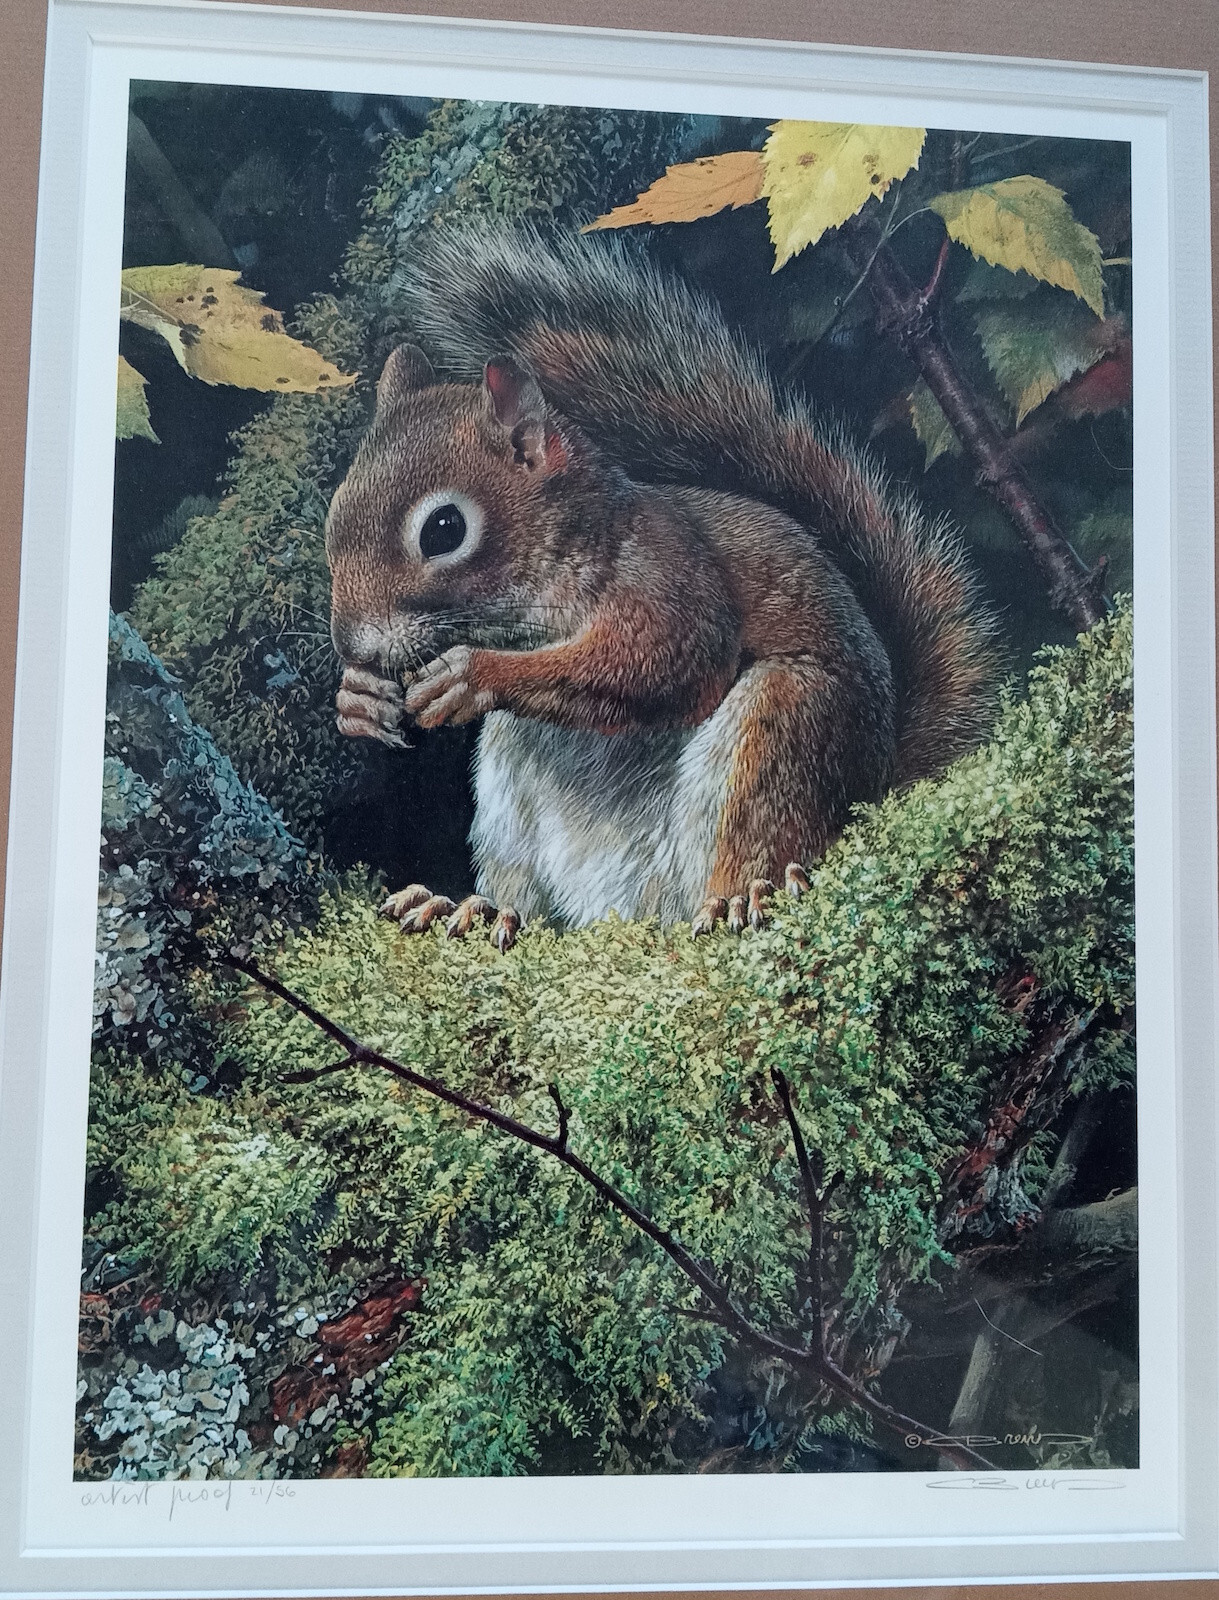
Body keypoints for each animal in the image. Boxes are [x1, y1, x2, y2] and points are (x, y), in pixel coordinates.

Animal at [325, 226, 999, 949]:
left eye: (444, 529)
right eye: (332, 513)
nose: (352, 645)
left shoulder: (669, 568)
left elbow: (667, 663)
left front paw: (473, 673)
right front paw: (358, 699)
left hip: (787, 730)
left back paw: (740, 898)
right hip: (511, 802)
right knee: (531, 900)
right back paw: (473, 907)